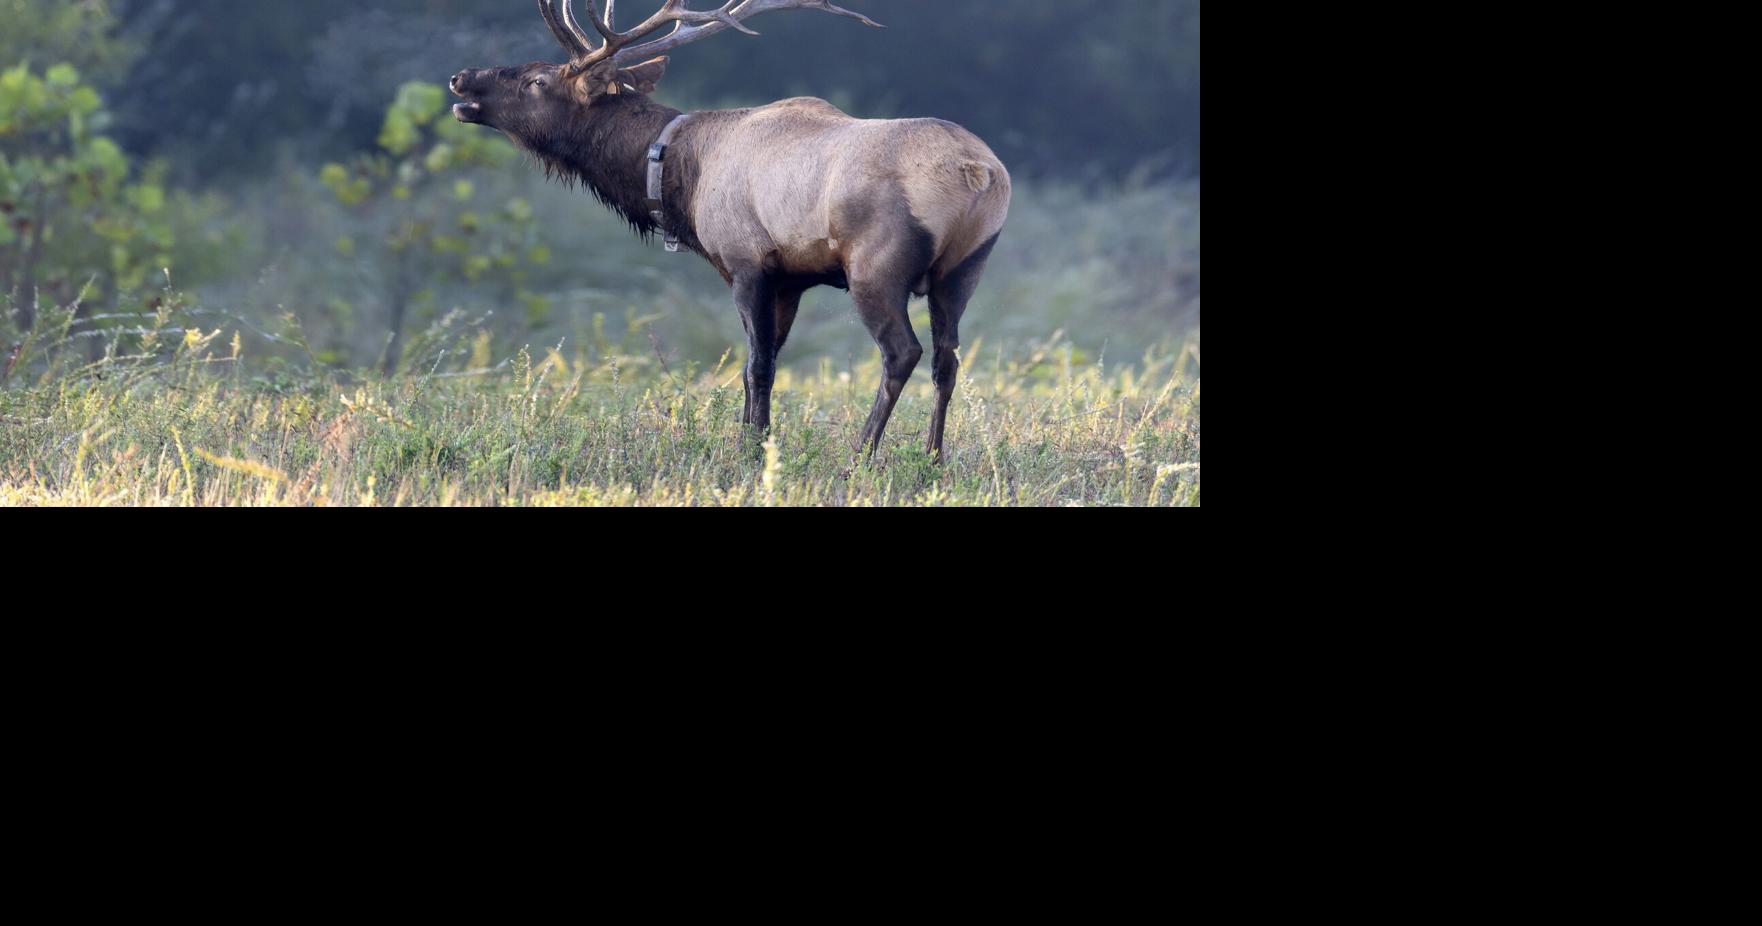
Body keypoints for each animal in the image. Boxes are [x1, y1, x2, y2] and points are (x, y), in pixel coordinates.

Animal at [449, 1, 1011, 460]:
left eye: (537, 82)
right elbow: (758, 362)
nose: (461, 78)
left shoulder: (746, 263)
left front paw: (752, 447)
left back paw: (861, 454)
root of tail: (979, 173)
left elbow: (756, 364)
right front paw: (749, 436)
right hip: (966, 268)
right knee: (947, 358)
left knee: (902, 352)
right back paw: (932, 457)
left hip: (876, 266)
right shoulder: (789, 281)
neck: (680, 179)